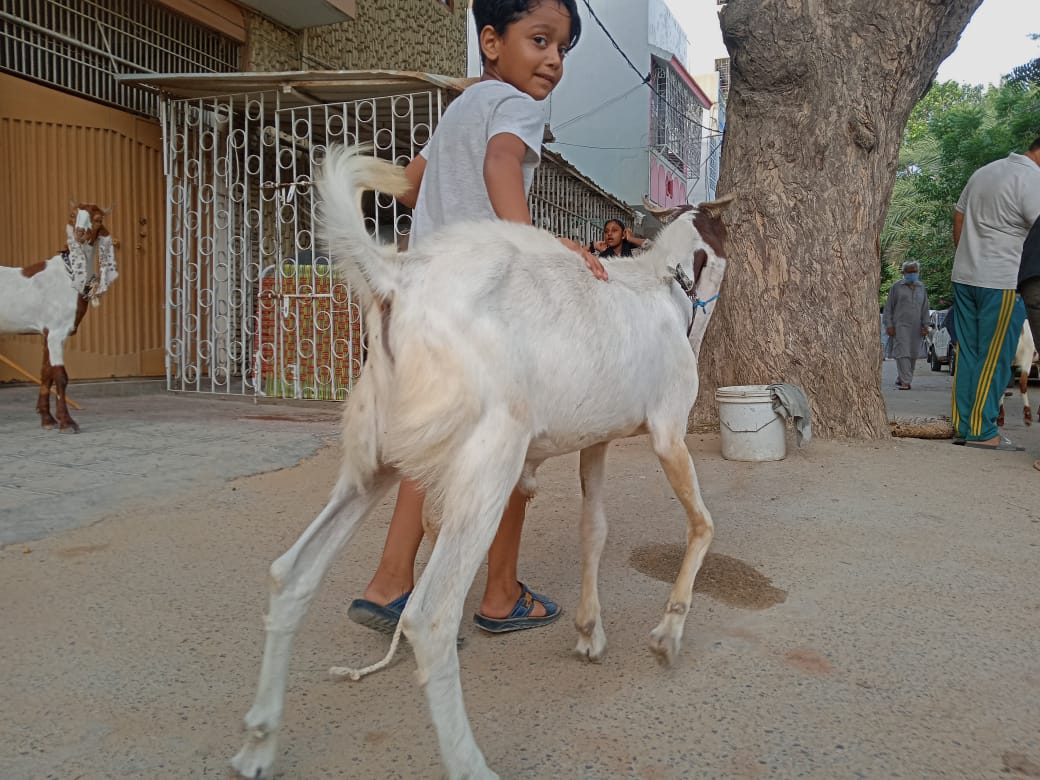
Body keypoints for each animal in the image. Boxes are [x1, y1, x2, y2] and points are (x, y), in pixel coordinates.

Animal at [0, 201, 117, 432]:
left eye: (98, 218)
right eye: (72, 215)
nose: (80, 233)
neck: (68, 277)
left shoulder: (48, 333)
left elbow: (46, 374)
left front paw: (47, 419)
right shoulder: (57, 333)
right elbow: (61, 376)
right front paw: (67, 421)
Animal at [230, 146, 734, 780]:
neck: (660, 285)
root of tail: (398, 279)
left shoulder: (597, 438)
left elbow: (593, 530)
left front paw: (589, 632)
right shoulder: (668, 433)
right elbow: (703, 525)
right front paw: (668, 634)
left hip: (374, 460)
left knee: (291, 572)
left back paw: (258, 743)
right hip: (488, 461)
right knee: (430, 617)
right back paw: (469, 762)